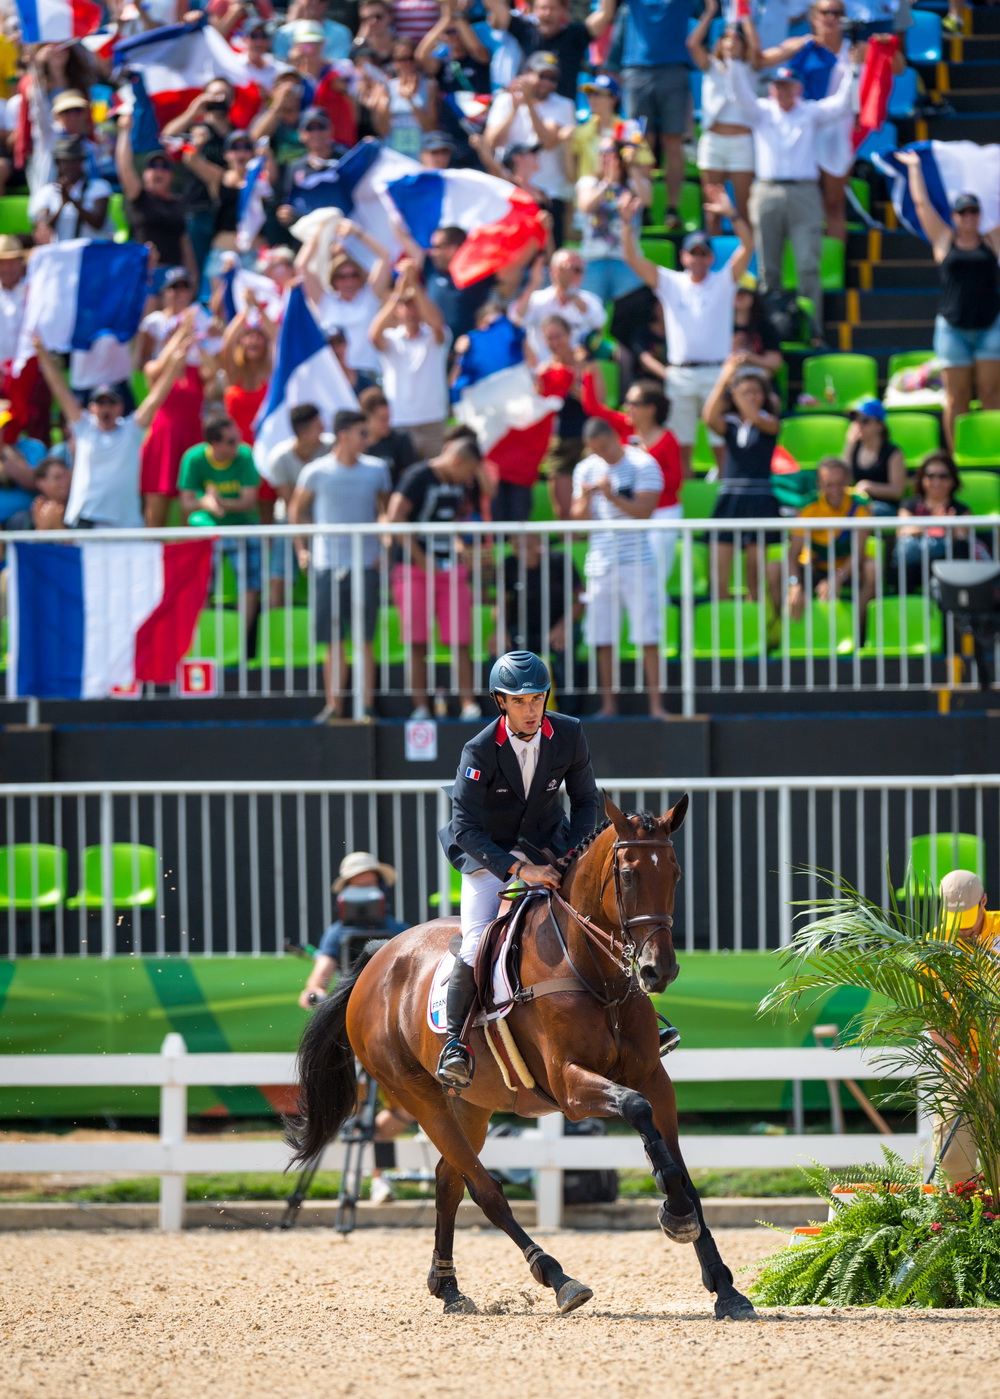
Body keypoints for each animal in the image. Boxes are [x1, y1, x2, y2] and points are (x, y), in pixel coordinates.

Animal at [289, 793, 755, 1322]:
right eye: (628, 875)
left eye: (674, 873)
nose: (660, 970)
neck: (596, 974)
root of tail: (378, 957)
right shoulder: (570, 1087)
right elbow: (635, 1109)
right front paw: (675, 1215)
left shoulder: (655, 1079)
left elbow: (681, 1169)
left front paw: (724, 1286)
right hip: (419, 1096)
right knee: (484, 1190)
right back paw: (558, 1278)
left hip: (471, 1104)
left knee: (448, 1180)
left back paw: (448, 1287)